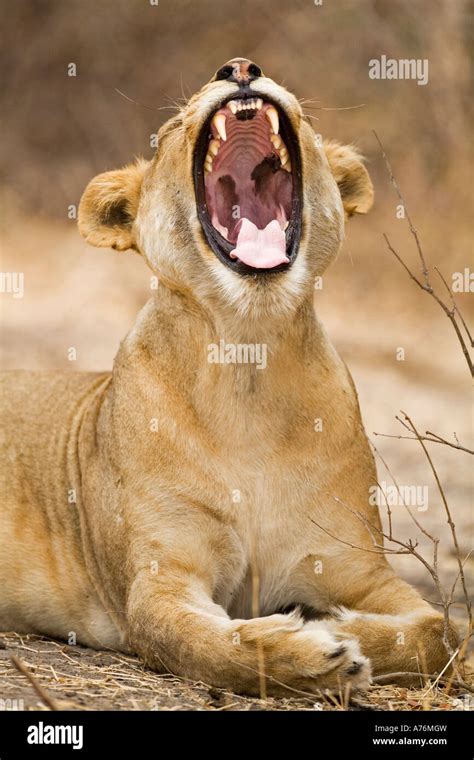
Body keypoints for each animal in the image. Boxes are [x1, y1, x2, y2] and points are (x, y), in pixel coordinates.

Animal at [0, 59, 457, 696]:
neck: (249, 363)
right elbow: (202, 643)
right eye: (169, 130)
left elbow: (441, 633)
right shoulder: (160, 579)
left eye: (308, 121)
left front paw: (331, 626)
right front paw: (311, 652)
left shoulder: (362, 570)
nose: (239, 67)